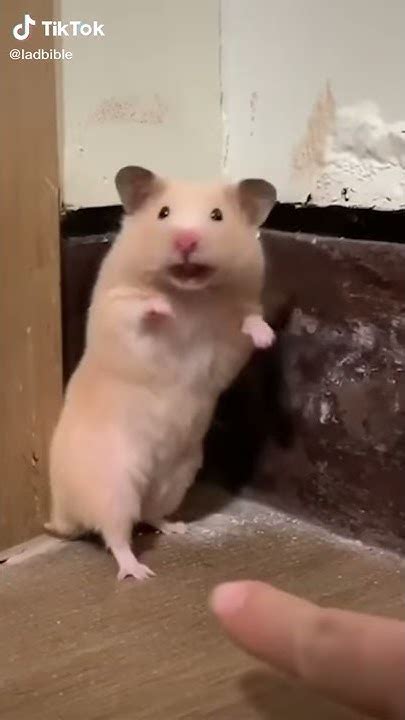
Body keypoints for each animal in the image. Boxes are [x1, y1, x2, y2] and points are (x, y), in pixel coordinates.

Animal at [46, 166, 277, 580]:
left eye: (217, 216)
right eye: (163, 213)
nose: (186, 240)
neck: (190, 292)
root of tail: (62, 513)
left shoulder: (239, 320)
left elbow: (250, 321)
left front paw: (268, 338)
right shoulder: (115, 306)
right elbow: (138, 308)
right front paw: (162, 308)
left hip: (176, 478)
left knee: (149, 514)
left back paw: (176, 528)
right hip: (113, 486)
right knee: (116, 534)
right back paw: (138, 572)